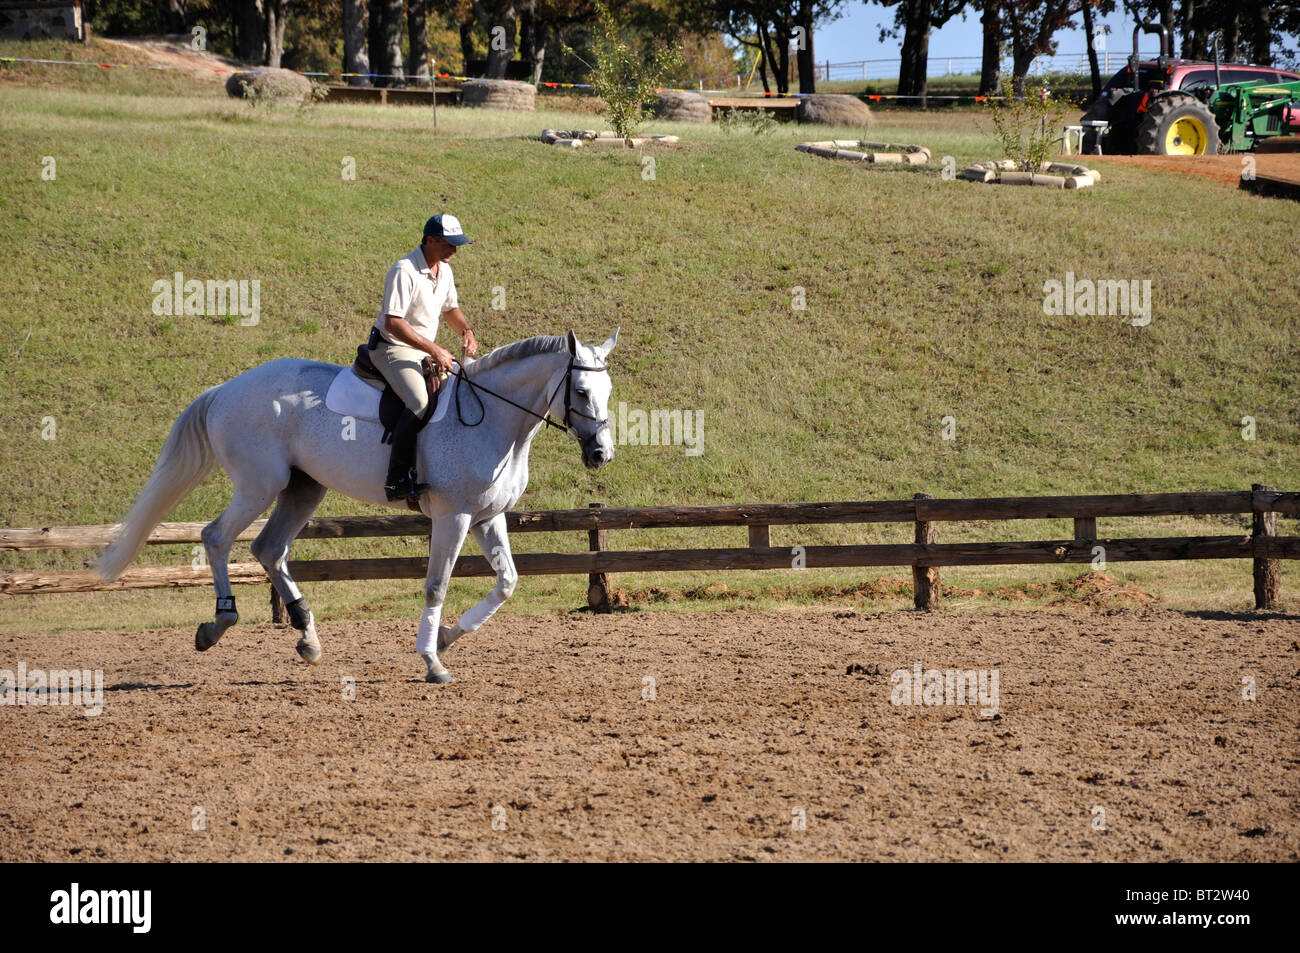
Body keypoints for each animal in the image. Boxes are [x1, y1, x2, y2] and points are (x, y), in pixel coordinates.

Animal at [96, 330, 618, 684]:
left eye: (608, 392)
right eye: (581, 392)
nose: (601, 454)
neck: (493, 420)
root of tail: (225, 389)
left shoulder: (488, 518)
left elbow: (507, 583)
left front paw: (446, 638)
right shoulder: (453, 517)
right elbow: (435, 585)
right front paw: (432, 660)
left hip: (304, 488)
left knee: (269, 549)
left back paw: (307, 637)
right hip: (259, 485)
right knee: (217, 537)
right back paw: (218, 623)